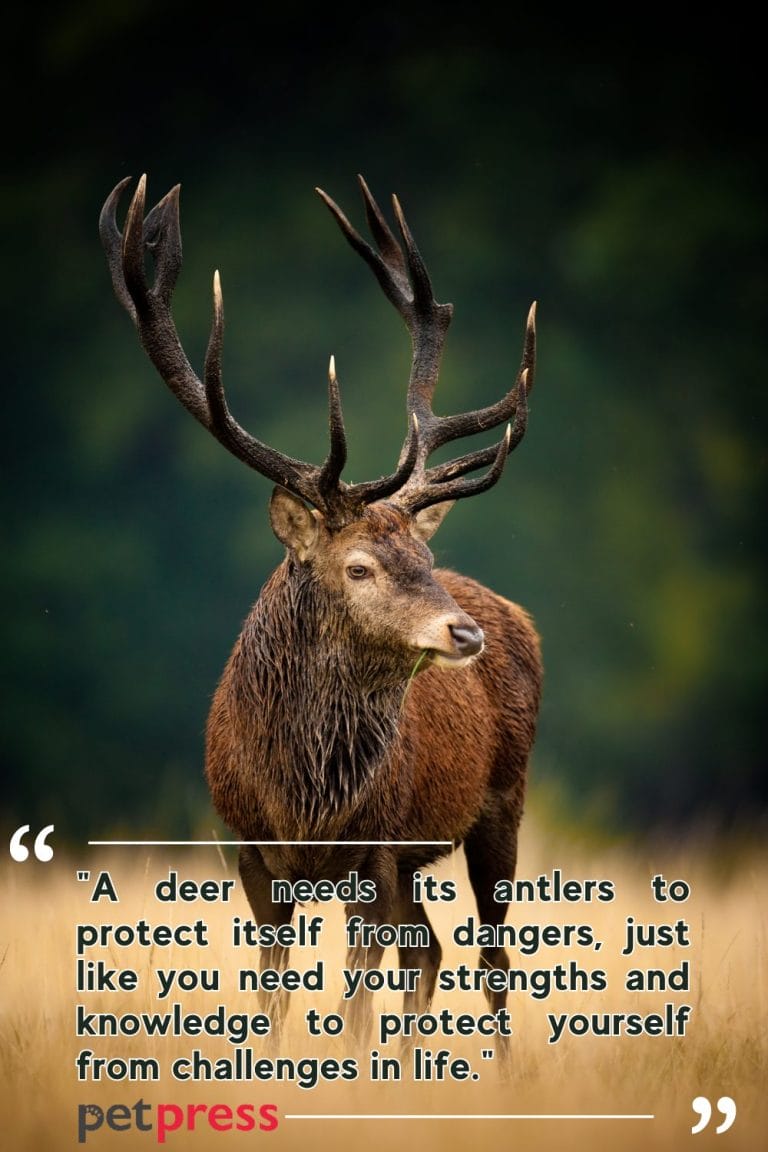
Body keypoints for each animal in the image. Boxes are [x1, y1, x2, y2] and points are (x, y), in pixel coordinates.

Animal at [99, 173, 543, 1056]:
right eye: (359, 566)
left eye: (425, 562)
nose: (463, 633)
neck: (305, 797)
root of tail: (517, 616)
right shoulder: (247, 845)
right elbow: (274, 989)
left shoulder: (376, 847)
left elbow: (355, 993)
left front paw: (349, 1065)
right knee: (430, 948)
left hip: (501, 800)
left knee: (489, 955)